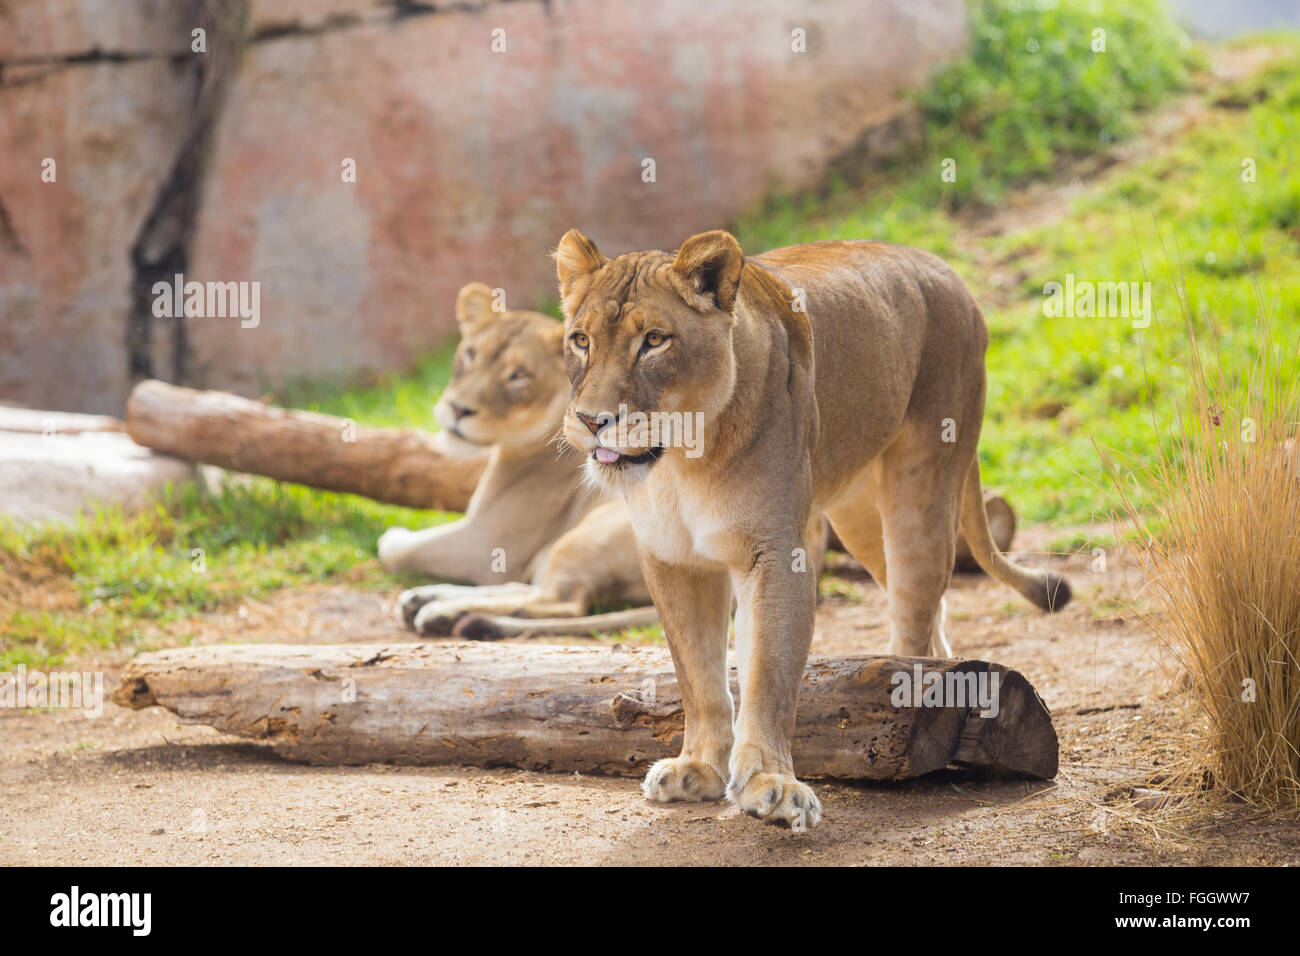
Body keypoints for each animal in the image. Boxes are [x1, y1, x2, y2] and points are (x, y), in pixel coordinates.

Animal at [377, 283, 653, 638]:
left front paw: (394, 535)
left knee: (561, 602)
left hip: (590, 533)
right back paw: (429, 599)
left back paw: (444, 612)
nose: (458, 409)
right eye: (470, 355)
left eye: (518, 376)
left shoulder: (486, 544)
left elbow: (397, 549)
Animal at [553, 228, 1072, 828]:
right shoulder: (672, 559)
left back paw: (904, 706)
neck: (681, 462)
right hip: (857, 514)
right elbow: (699, 676)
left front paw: (769, 783)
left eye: (655, 340)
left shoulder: (776, 553)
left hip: (922, 483)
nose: (590, 420)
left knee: (915, 607)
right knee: (925, 606)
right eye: (581, 341)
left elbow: (766, 674)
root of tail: (946, 268)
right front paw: (698, 769)